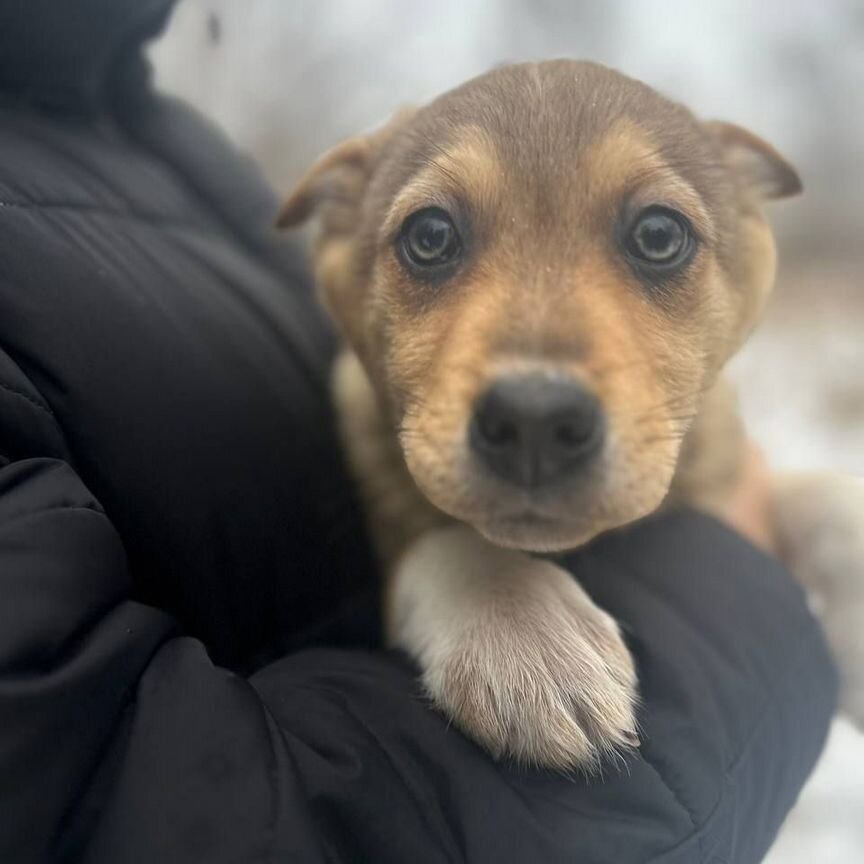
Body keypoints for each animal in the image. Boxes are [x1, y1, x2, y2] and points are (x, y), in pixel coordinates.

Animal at [278, 57, 864, 768]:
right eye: (430, 235)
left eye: (659, 234)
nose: (534, 422)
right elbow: (455, 540)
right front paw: (524, 631)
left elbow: (827, 495)